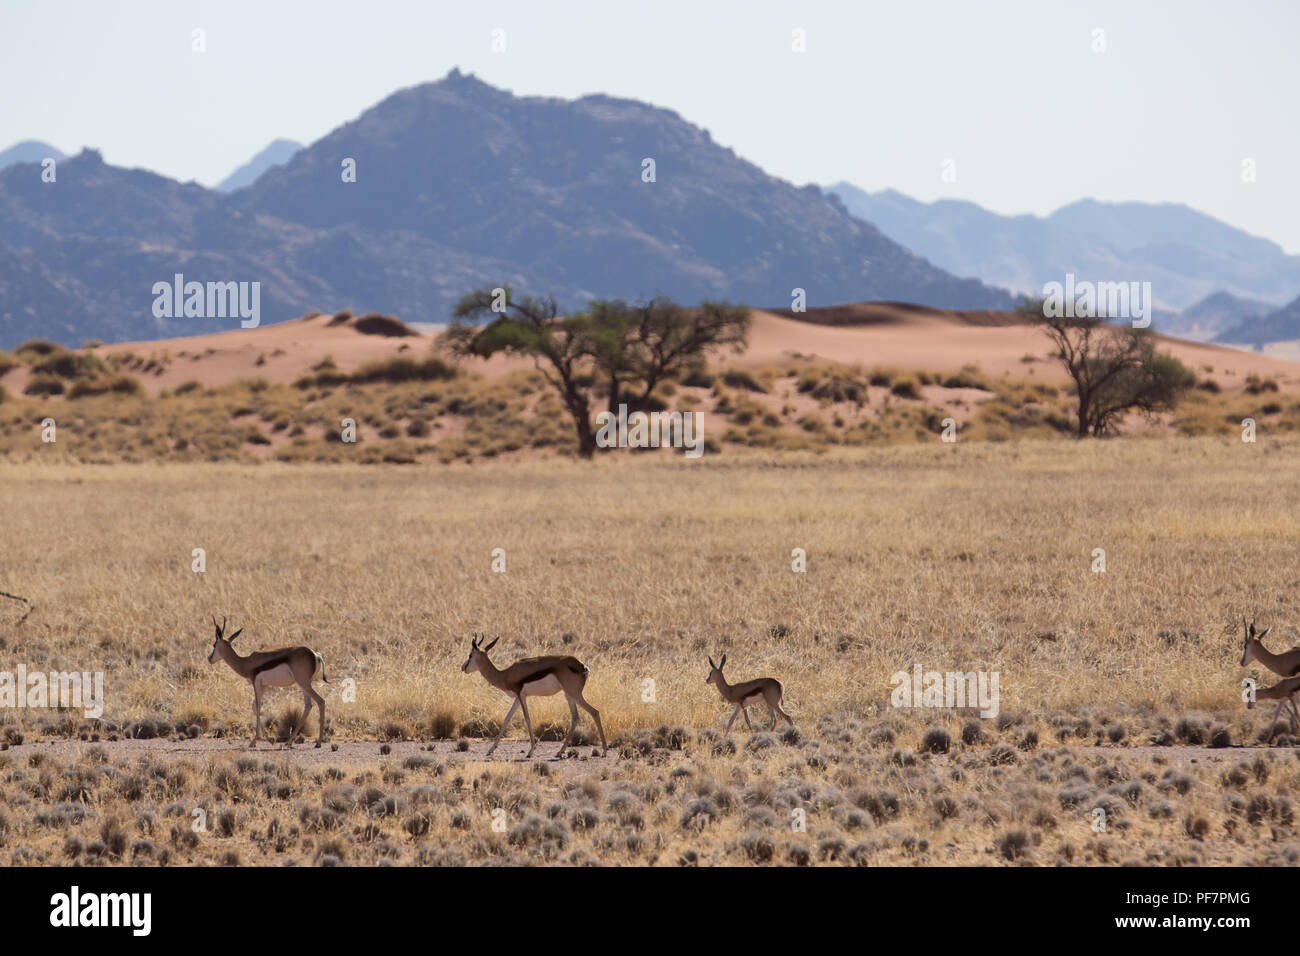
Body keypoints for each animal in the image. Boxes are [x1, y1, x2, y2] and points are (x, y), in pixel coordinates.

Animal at [207, 615, 328, 748]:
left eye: (214, 644)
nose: (209, 658)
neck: (246, 663)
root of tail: (315, 655)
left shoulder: (255, 683)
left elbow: (258, 706)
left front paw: (254, 741)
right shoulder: (264, 686)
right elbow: (254, 707)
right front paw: (270, 739)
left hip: (304, 683)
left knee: (321, 701)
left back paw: (318, 742)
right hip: (304, 685)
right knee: (308, 706)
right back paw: (289, 742)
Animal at [461, 635, 607, 759]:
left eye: (470, 655)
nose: (463, 668)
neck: (504, 675)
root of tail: (581, 666)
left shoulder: (521, 695)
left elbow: (527, 718)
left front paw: (530, 751)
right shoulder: (518, 698)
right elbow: (507, 718)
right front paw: (490, 750)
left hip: (575, 694)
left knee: (594, 712)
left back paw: (604, 751)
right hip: (569, 695)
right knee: (576, 717)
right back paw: (559, 752)